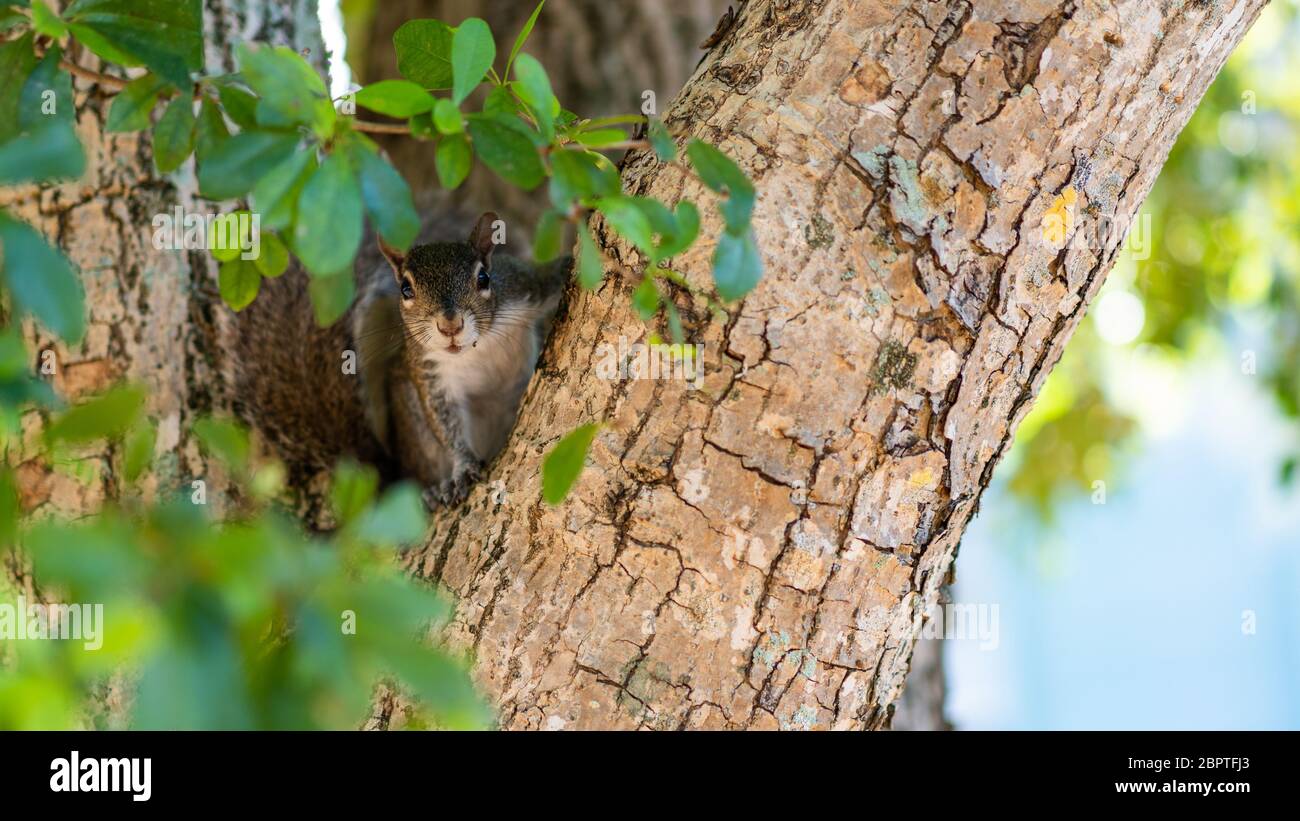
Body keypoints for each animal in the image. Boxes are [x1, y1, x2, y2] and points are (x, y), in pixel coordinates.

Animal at [227, 211, 569, 510]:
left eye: (484, 278)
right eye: (405, 289)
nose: (449, 326)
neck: (477, 347)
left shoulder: (521, 285)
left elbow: (552, 277)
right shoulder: (428, 371)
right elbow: (444, 421)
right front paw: (462, 468)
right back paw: (433, 492)